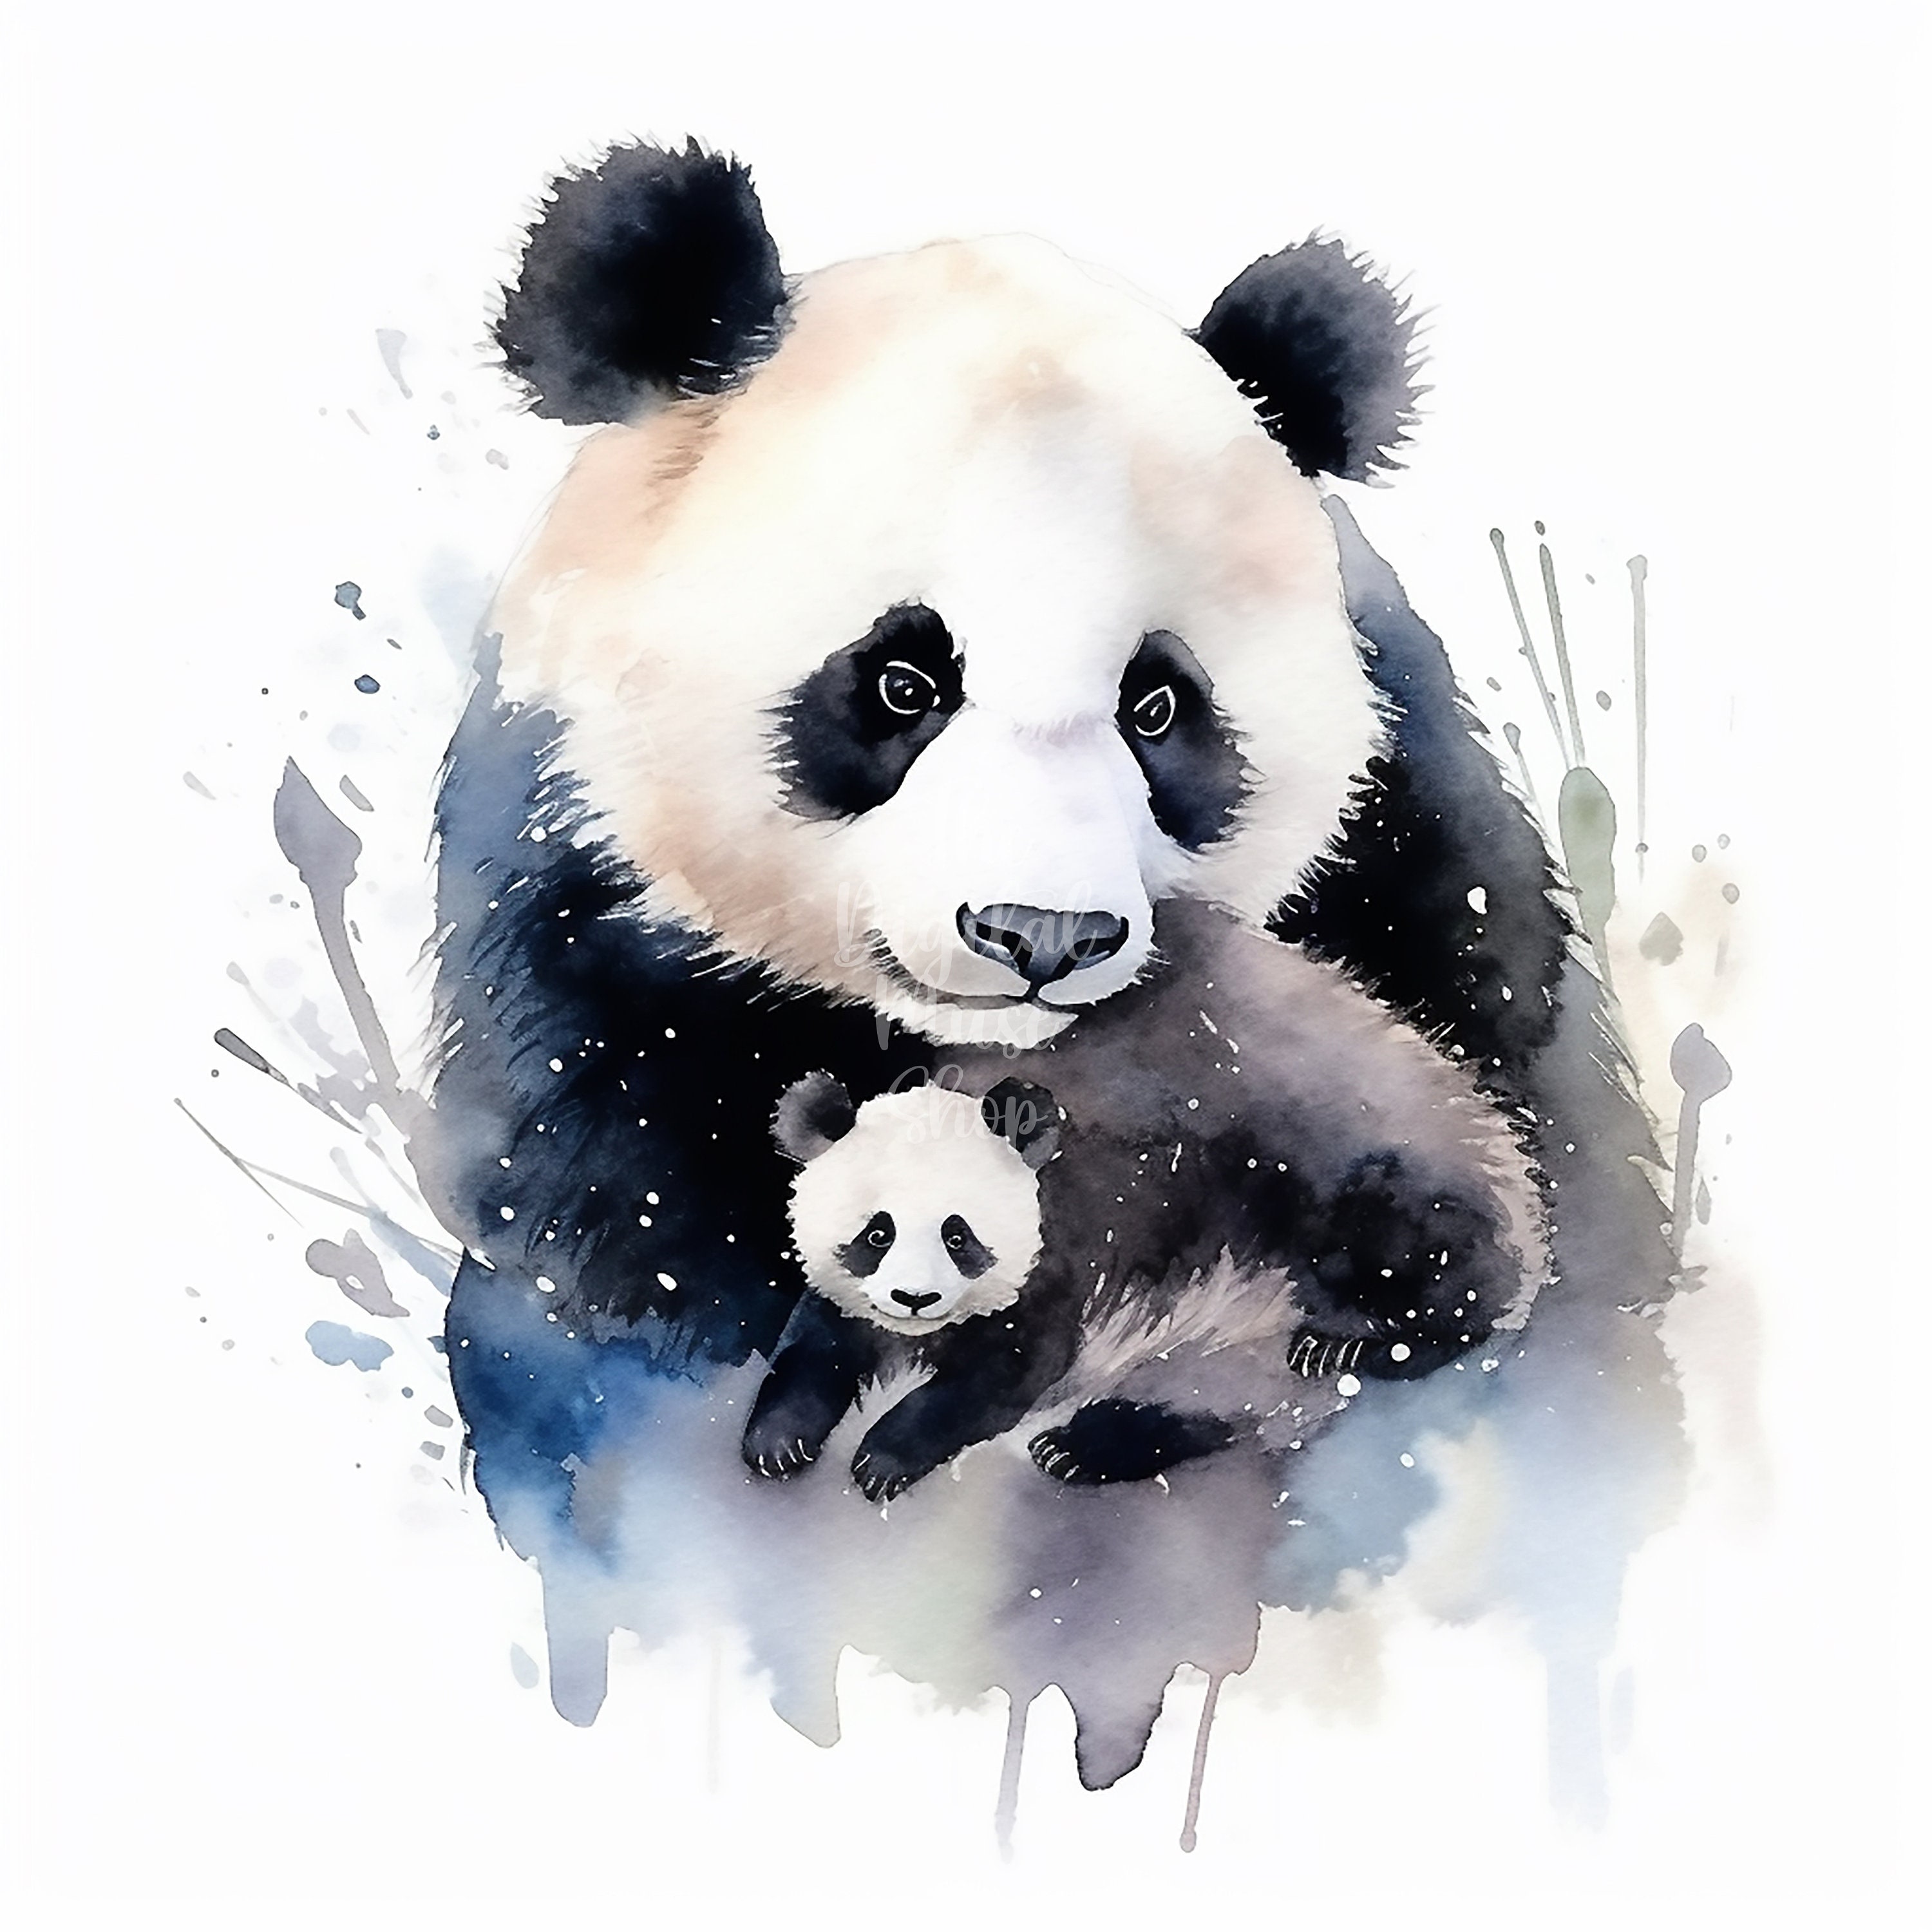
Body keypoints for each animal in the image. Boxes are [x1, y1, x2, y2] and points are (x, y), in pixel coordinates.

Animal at [749, 898, 1549, 1500]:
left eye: (959, 1234)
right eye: (875, 1232)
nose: (915, 1302)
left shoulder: (1083, 1229)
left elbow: (1006, 1373)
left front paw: (886, 1454)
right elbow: (820, 1336)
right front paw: (778, 1439)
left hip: (1379, 1190)